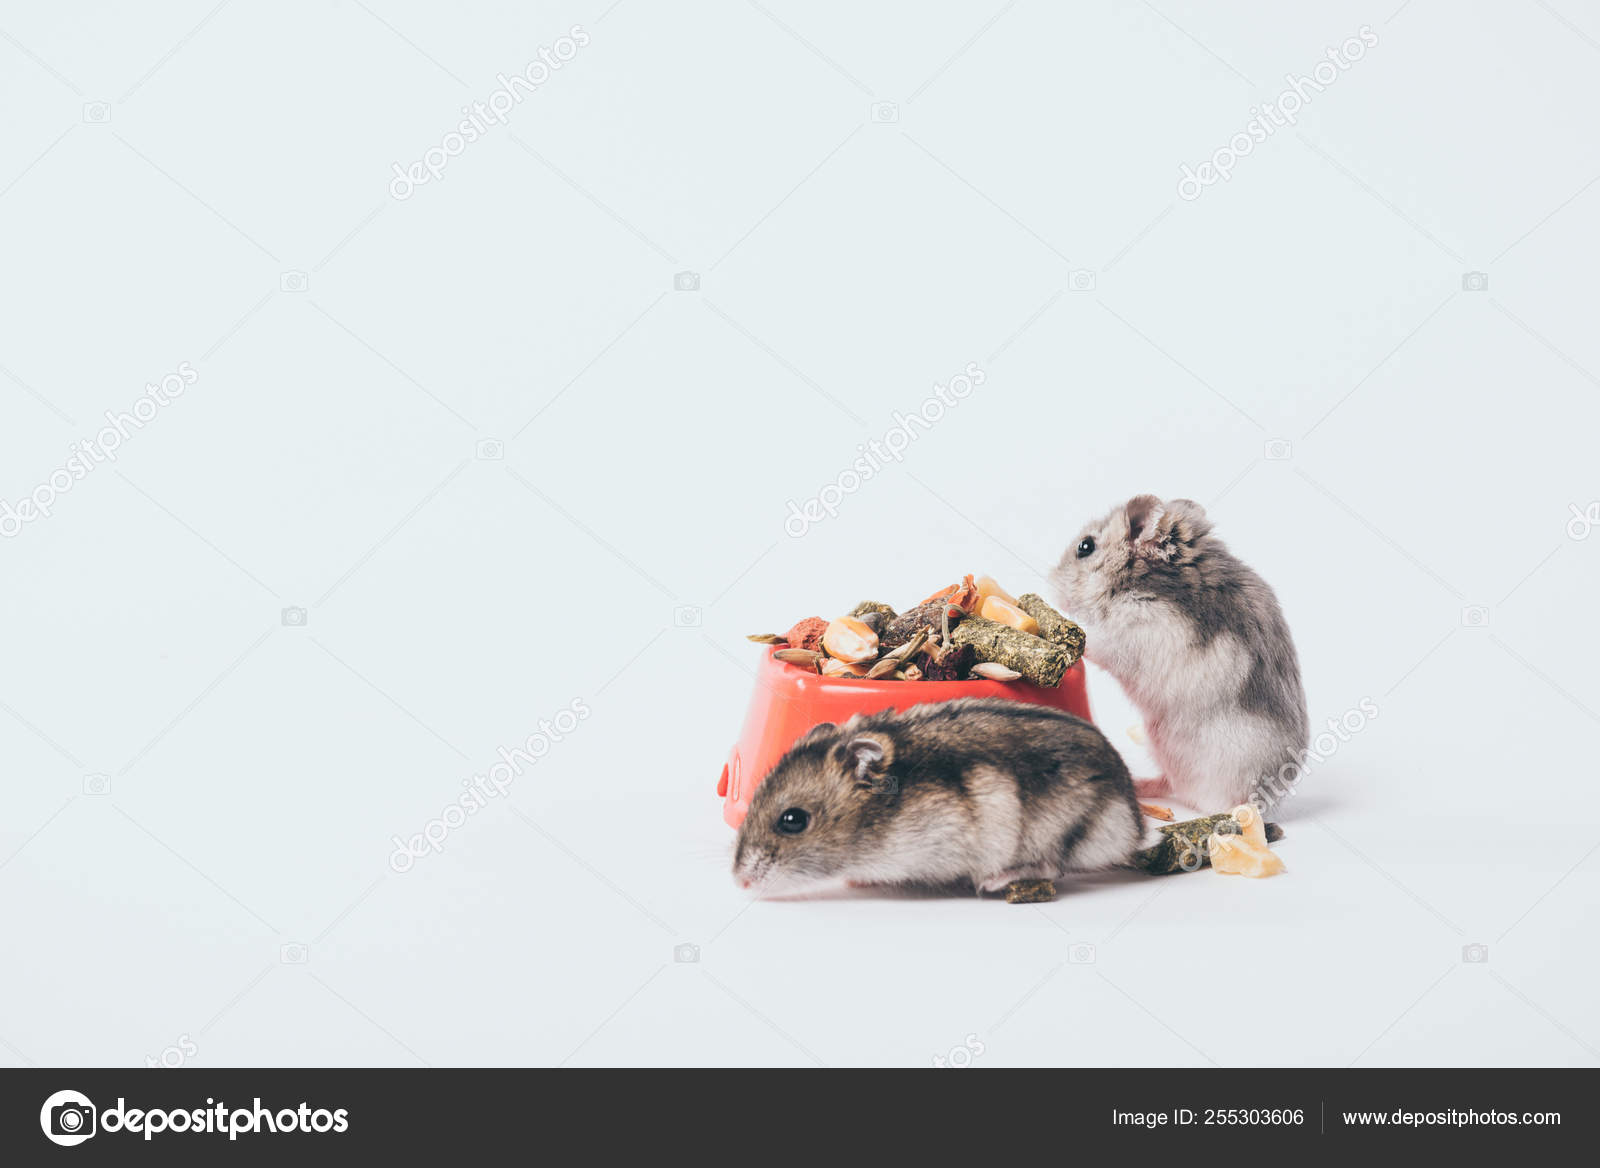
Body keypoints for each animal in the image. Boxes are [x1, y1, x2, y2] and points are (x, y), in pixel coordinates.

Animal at [732, 698, 1144, 897]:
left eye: (793, 820)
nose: (740, 883)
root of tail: (1136, 828)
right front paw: (856, 882)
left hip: (1057, 831)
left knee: (1051, 867)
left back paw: (993, 881)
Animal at [1050, 494, 1308, 813]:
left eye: (1085, 547)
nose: (1050, 581)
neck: (1134, 583)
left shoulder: (1128, 636)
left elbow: (1093, 642)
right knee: (1167, 783)